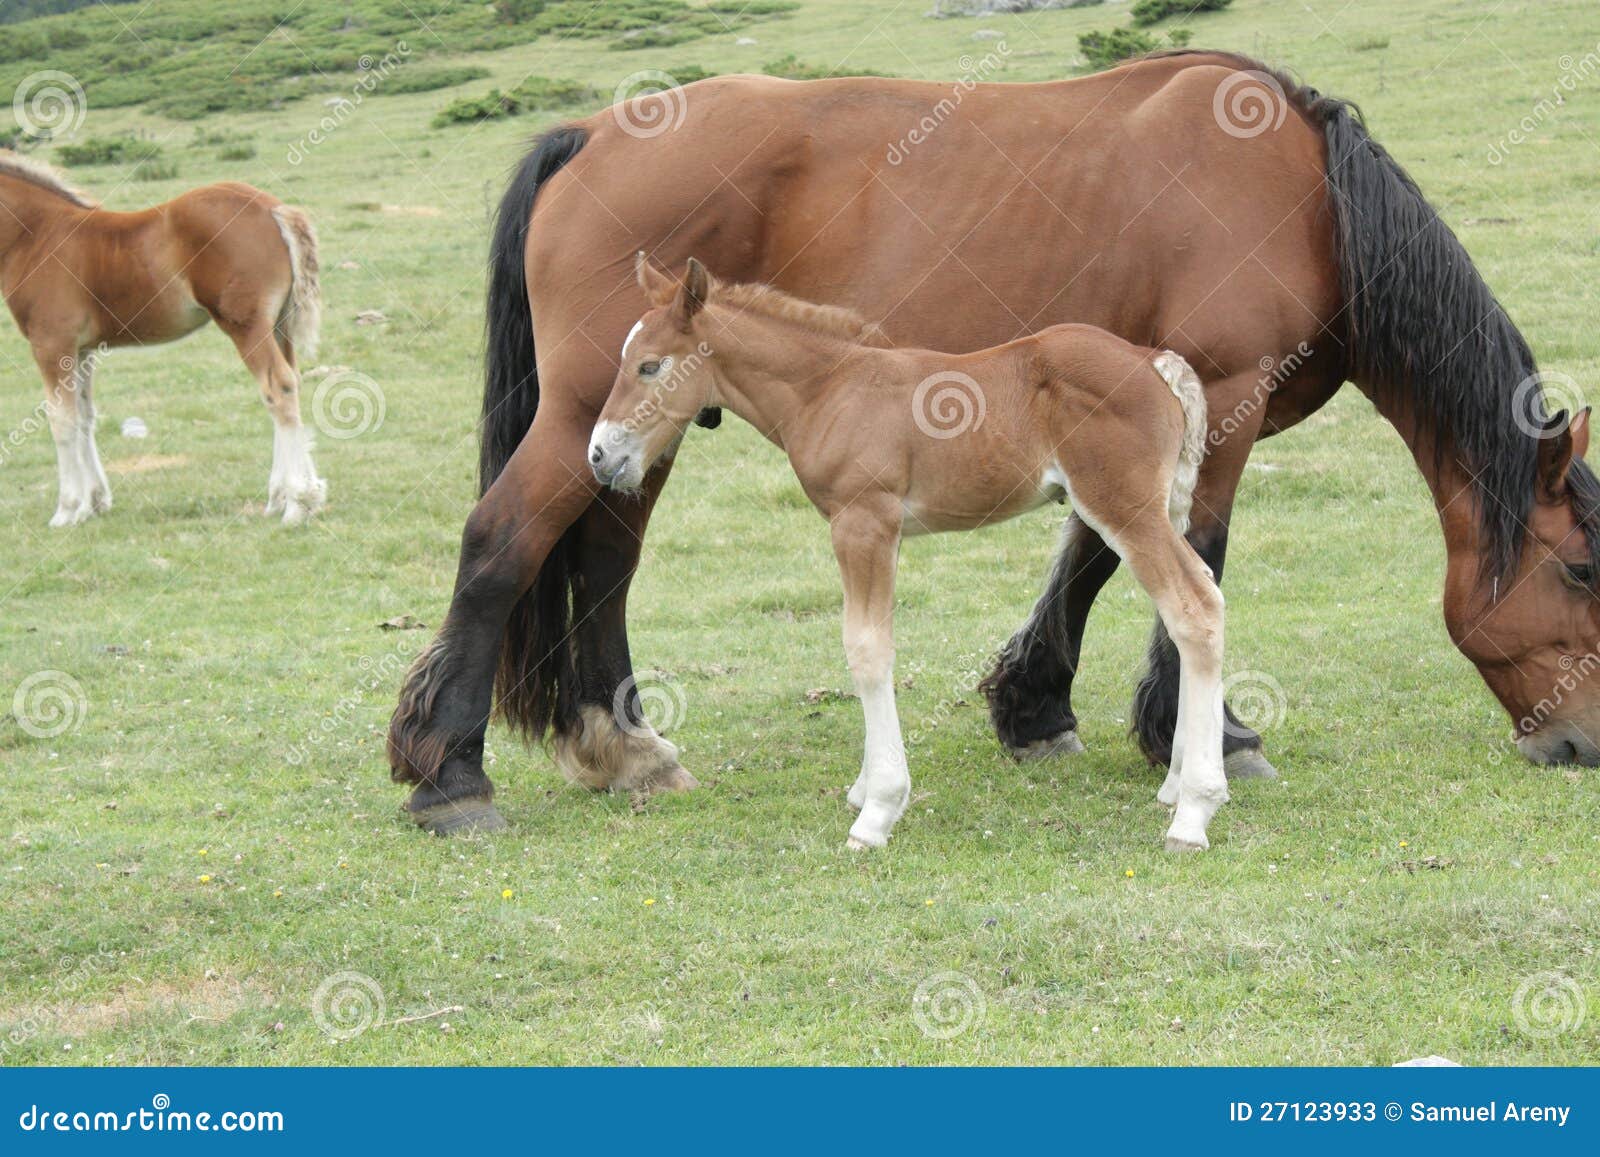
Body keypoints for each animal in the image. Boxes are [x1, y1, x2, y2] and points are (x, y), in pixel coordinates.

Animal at [0, 151, 325, 526]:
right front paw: (94, 502)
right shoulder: (81, 350)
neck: (35, 237)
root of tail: (275, 209)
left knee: (277, 387)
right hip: (280, 324)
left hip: (247, 326)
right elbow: (84, 416)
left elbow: (62, 422)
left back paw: (296, 504)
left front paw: (66, 510)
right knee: (291, 383)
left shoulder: (51, 345)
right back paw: (290, 497)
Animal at [587, 255, 1224, 850]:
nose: (599, 455)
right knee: (1197, 604)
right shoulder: (882, 534)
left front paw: (877, 811)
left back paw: (1194, 812)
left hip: (1125, 510)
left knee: (1194, 607)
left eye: (650, 365)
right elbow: (873, 645)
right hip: (1161, 510)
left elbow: (867, 650)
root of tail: (1154, 363)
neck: (827, 390)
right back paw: (1176, 784)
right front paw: (865, 788)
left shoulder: (863, 522)